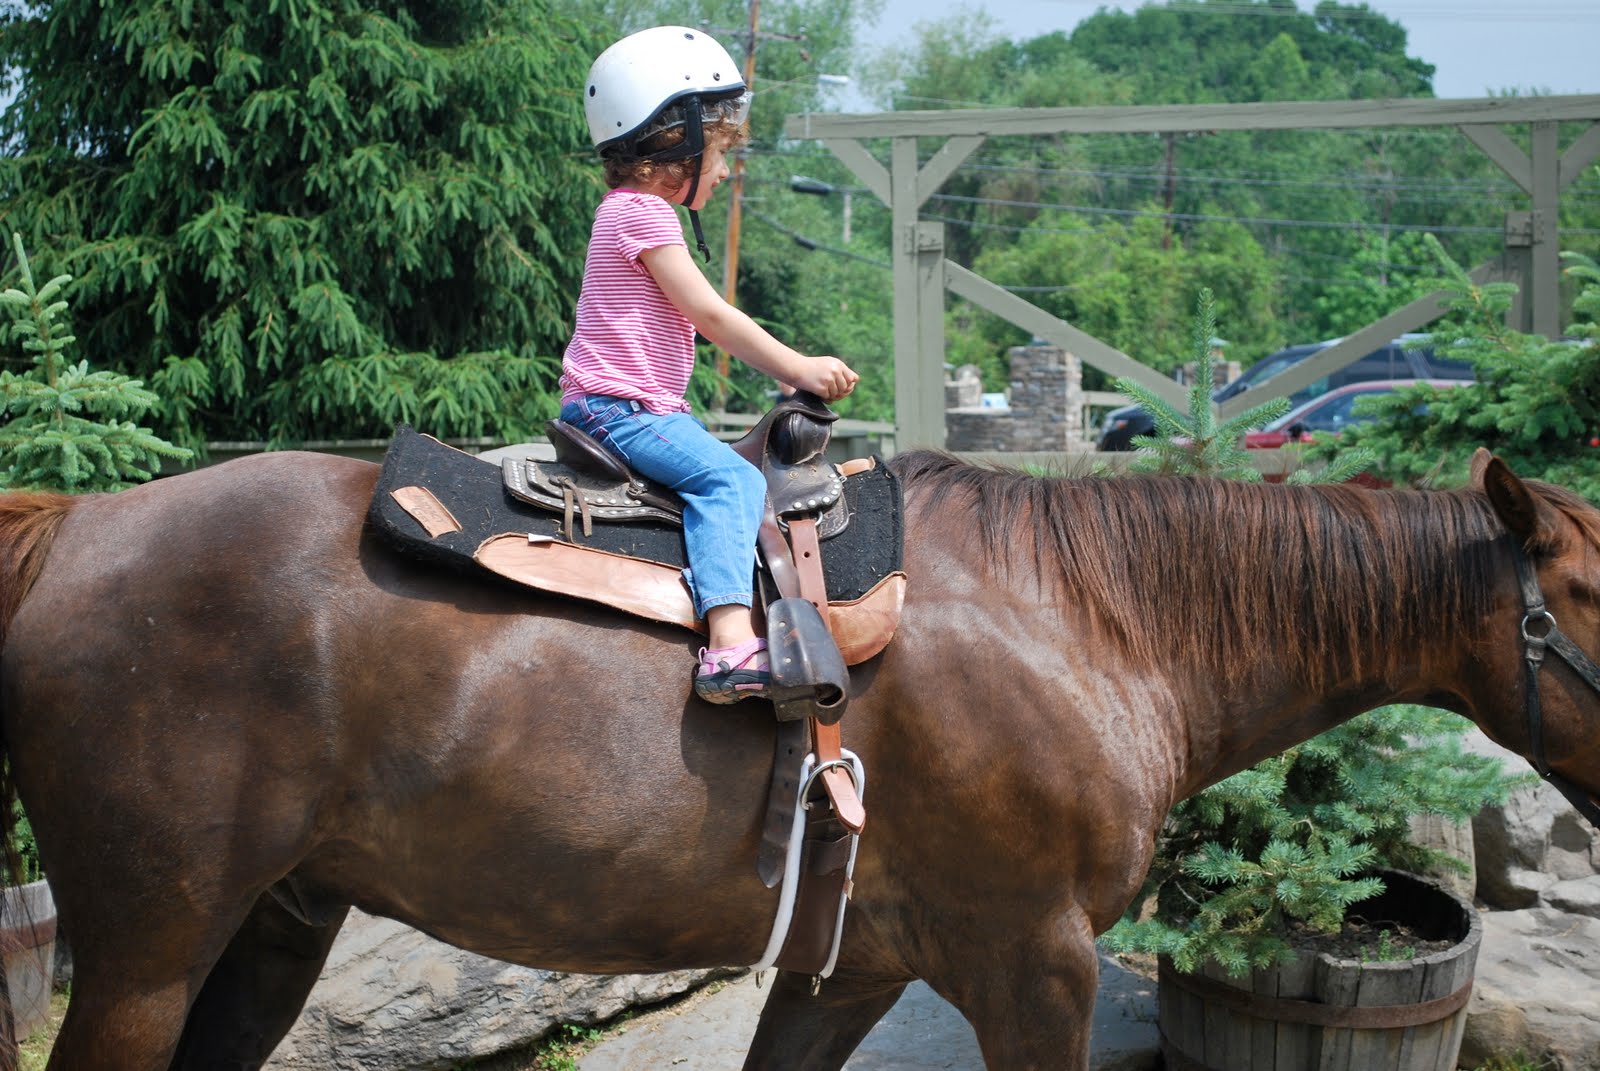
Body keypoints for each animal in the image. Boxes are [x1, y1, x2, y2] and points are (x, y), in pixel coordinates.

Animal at [0, 444, 1596, 1071]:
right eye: (1587, 590)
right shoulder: (1038, 964)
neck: (1094, 620)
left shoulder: (854, 964)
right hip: (144, 951)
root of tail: (75, 525)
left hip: (274, 926)